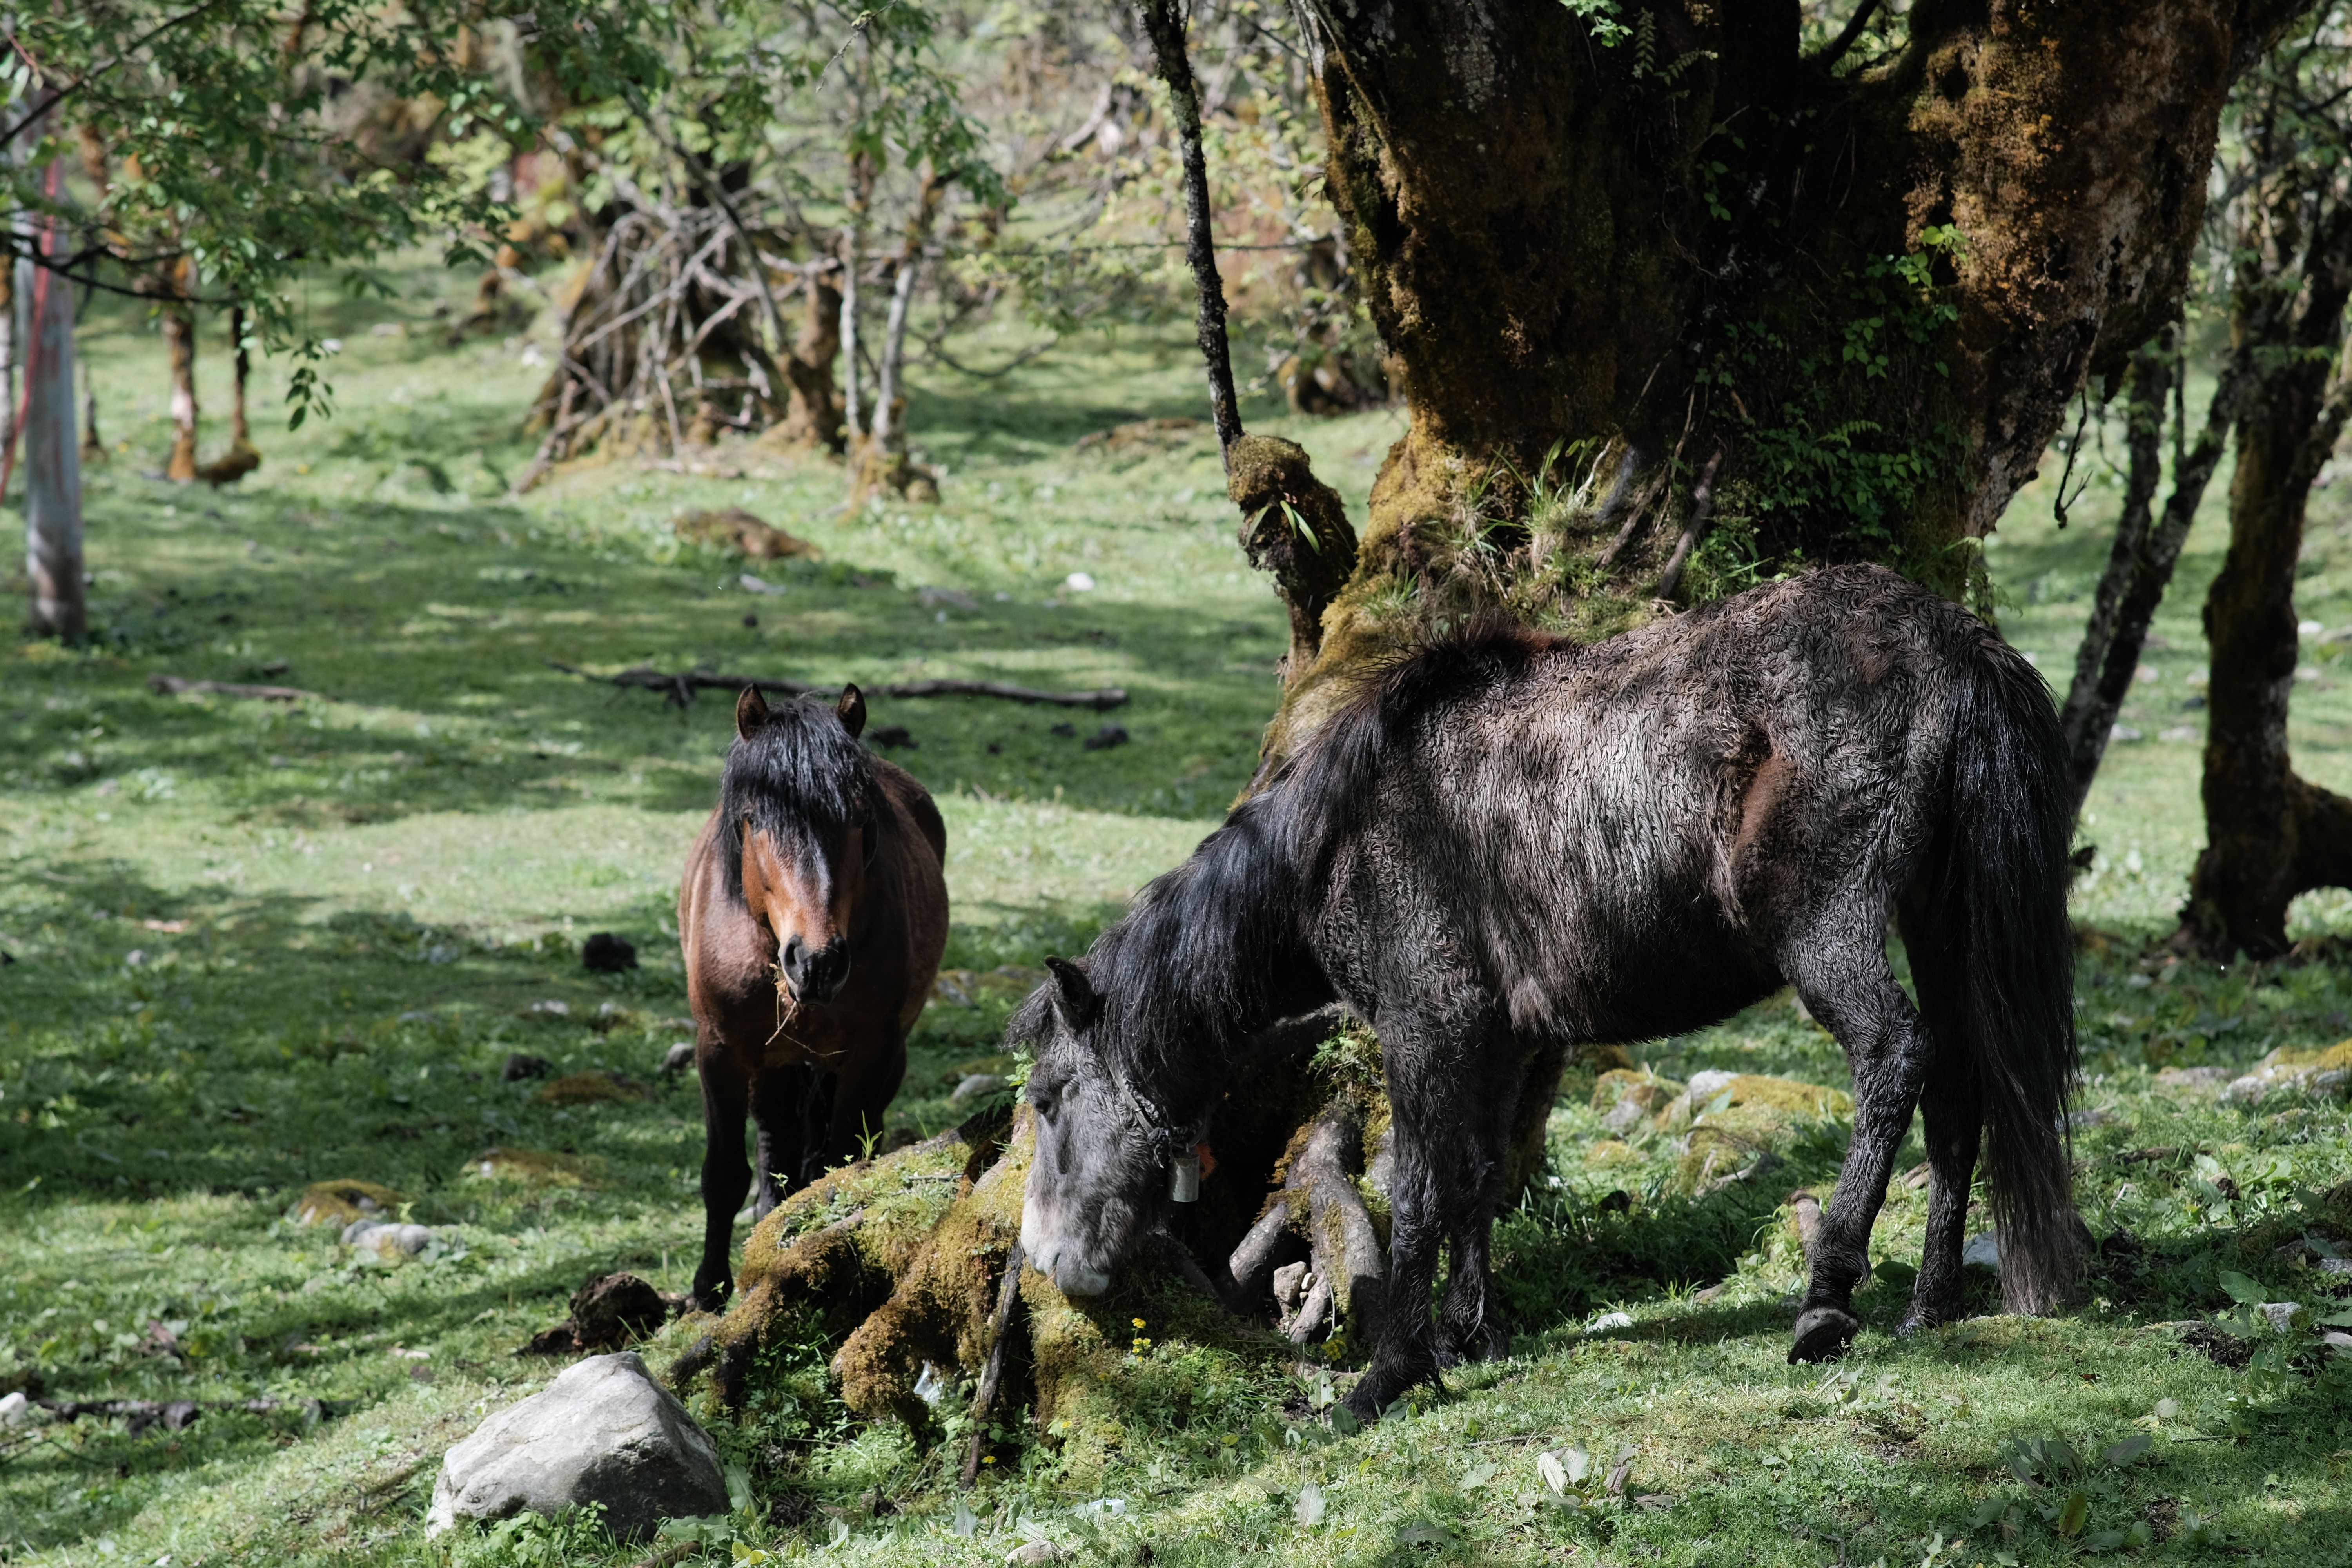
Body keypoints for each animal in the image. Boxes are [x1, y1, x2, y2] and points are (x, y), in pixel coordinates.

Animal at [678, 684, 948, 1309]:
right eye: (755, 819)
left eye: (859, 817)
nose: (817, 961)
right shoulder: (719, 1051)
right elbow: (724, 1174)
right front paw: (709, 1290)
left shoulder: (871, 1052)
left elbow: (840, 1160)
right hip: (770, 1064)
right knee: (775, 1145)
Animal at [1014, 564, 2078, 1418]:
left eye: (1049, 1097)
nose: (1046, 1259)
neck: (1344, 831)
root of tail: (1951, 639)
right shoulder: (1501, 1038)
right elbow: (1479, 1177)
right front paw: (1469, 1335)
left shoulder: (1425, 1027)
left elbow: (1418, 1189)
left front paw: (1390, 1373)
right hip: (1936, 923)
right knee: (1958, 1093)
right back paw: (1930, 1304)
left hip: (1831, 932)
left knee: (1896, 1054)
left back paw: (1828, 1294)